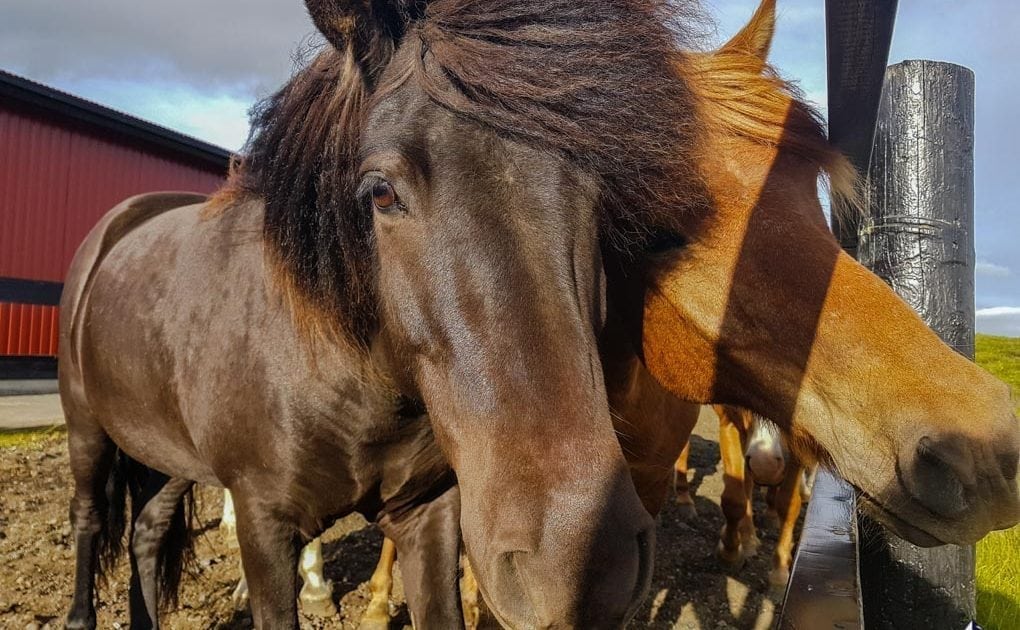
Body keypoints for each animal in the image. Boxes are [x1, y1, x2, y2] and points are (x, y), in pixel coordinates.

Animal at [59, 0, 706, 627]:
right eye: (380, 192)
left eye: (602, 193)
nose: (581, 565)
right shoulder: (263, 523)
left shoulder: (428, 514)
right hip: (86, 428)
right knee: (89, 518)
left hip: (163, 452)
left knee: (146, 532)